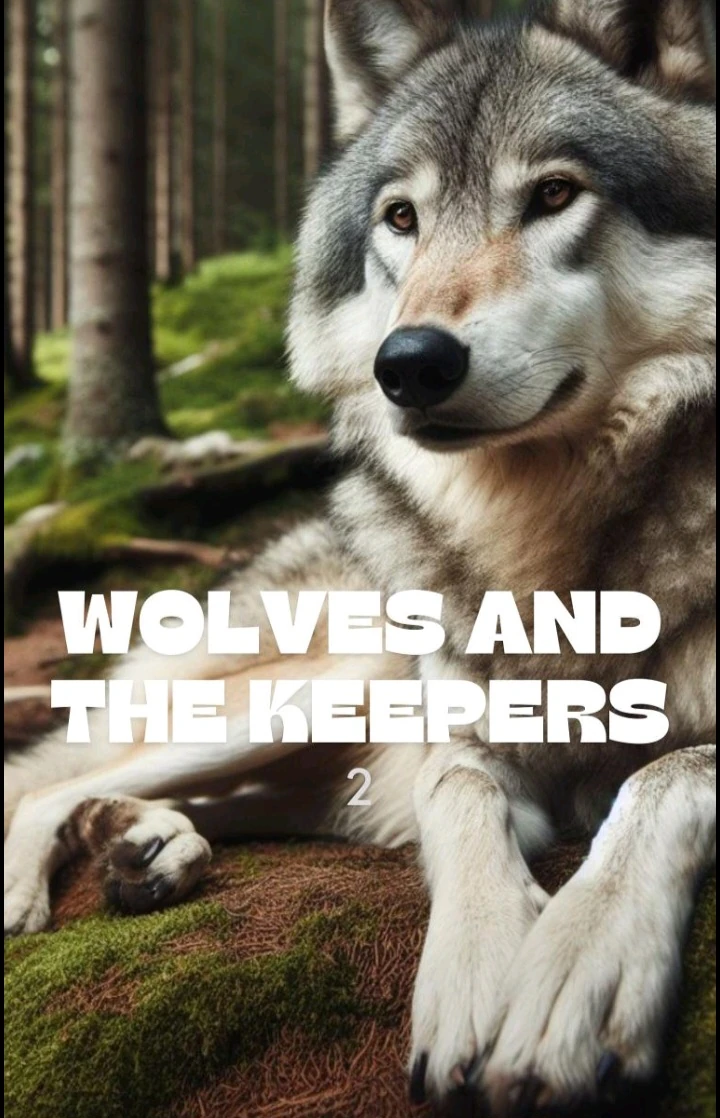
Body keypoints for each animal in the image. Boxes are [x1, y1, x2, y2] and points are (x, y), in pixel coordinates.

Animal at [4, 0, 716, 1112]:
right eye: (401, 219)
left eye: (555, 193)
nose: (411, 363)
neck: (544, 548)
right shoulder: (472, 748)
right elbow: (459, 793)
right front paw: (479, 974)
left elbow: (665, 772)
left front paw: (575, 967)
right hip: (307, 695)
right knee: (44, 782)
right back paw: (57, 882)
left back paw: (149, 845)